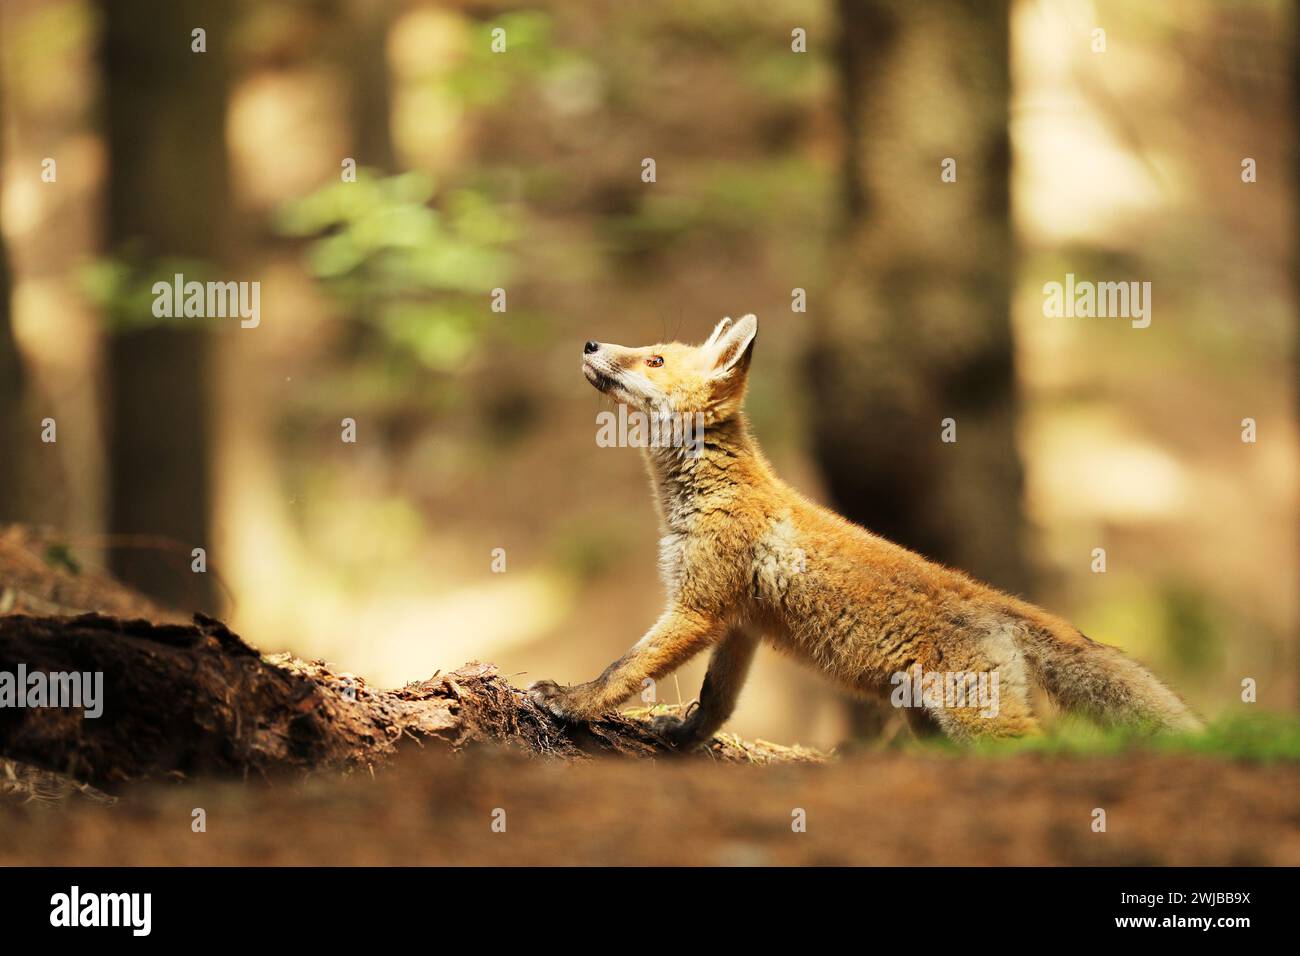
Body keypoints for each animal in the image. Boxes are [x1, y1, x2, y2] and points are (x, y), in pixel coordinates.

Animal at [528, 314, 1203, 744]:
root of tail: (991, 599)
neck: (709, 493)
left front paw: (569, 701)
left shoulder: (698, 608)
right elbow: (714, 702)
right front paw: (685, 739)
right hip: (929, 724)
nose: (589, 343)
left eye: (655, 358)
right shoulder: (740, 624)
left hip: (972, 716)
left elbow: (622, 670)